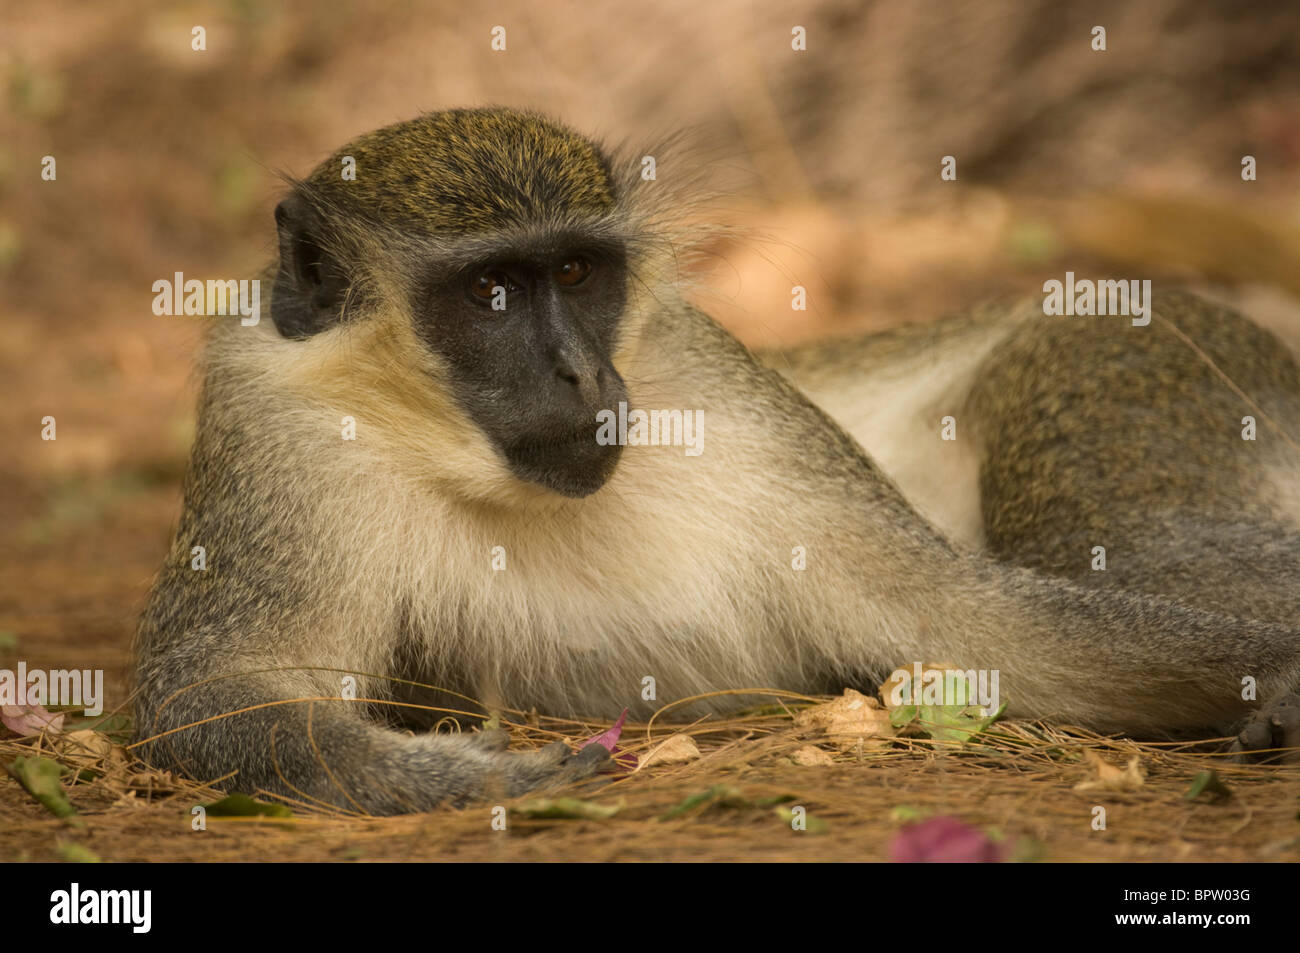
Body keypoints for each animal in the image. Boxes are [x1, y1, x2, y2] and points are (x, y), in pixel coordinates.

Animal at [133, 108, 1300, 816]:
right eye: (490, 293)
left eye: (574, 271)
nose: (580, 371)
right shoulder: (274, 434)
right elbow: (212, 690)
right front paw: (459, 779)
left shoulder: (722, 387)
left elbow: (971, 619)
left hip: (1119, 353)